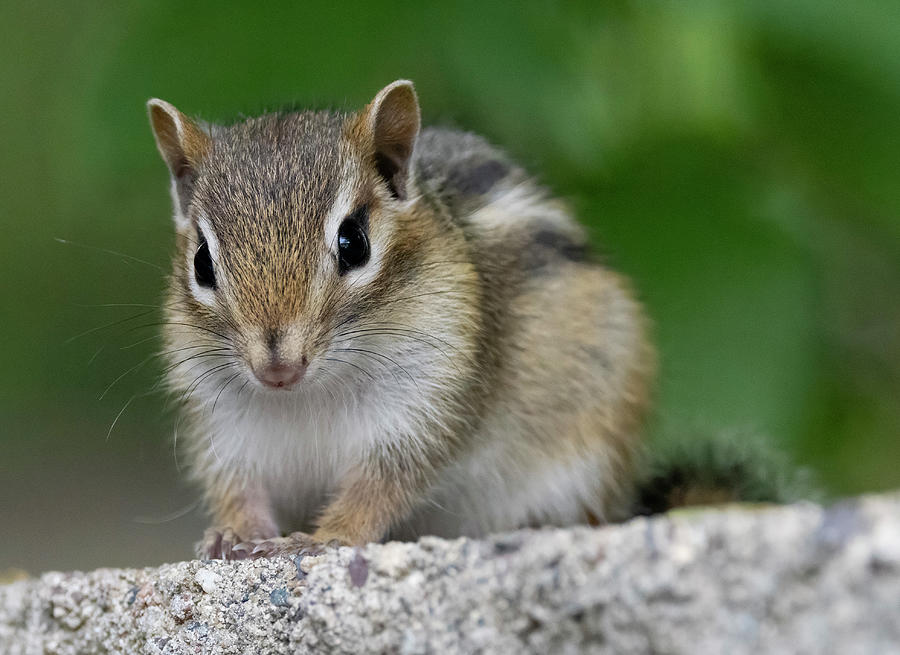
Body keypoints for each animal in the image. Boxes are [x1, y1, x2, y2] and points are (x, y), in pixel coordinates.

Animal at [146, 80, 656, 560]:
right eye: (202, 263)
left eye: (354, 243)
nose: (278, 369)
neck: (309, 396)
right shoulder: (224, 424)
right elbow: (236, 485)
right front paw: (234, 533)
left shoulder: (424, 403)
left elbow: (381, 486)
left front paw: (324, 538)